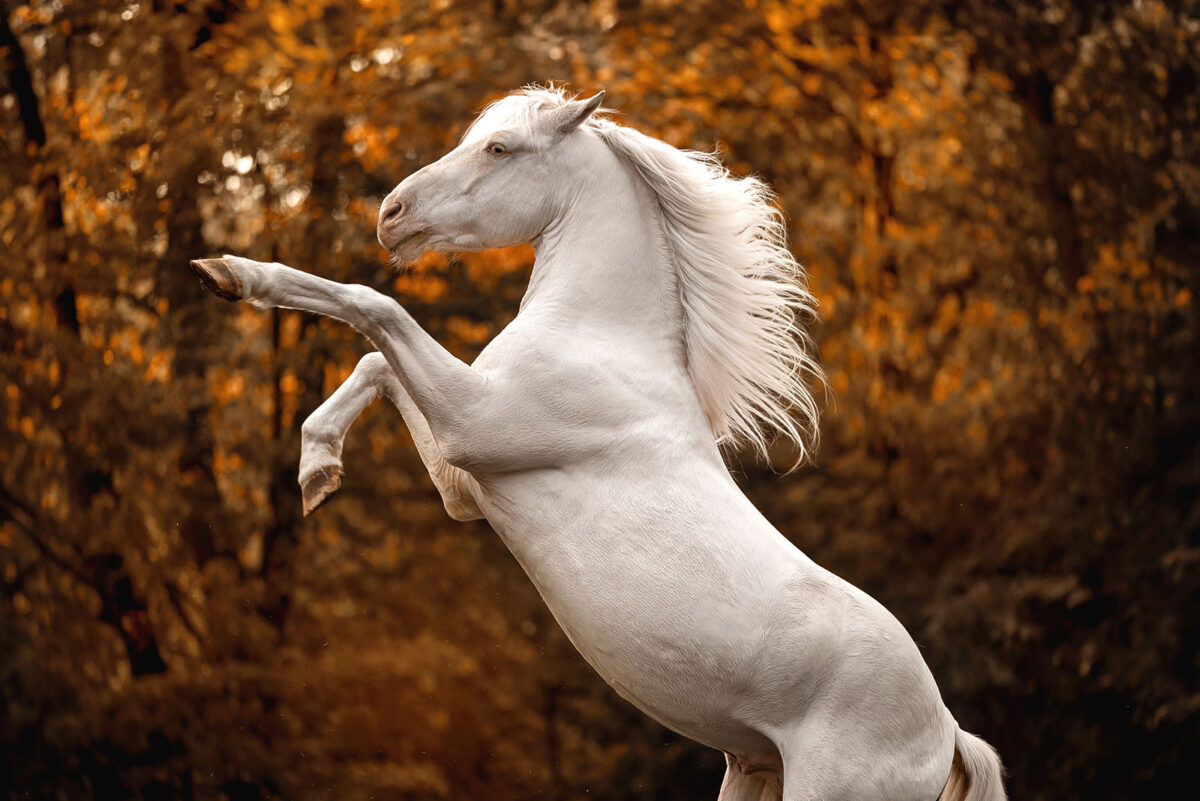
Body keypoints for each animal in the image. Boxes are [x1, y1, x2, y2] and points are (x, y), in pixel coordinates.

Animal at [189, 86, 1005, 801]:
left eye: (499, 146)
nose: (391, 215)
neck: (602, 337)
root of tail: (946, 736)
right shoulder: (464, 478)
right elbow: (374, 361)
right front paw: (316, 469)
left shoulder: (474, 426)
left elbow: (372, 306)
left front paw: (231, 272)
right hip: (753, 774)